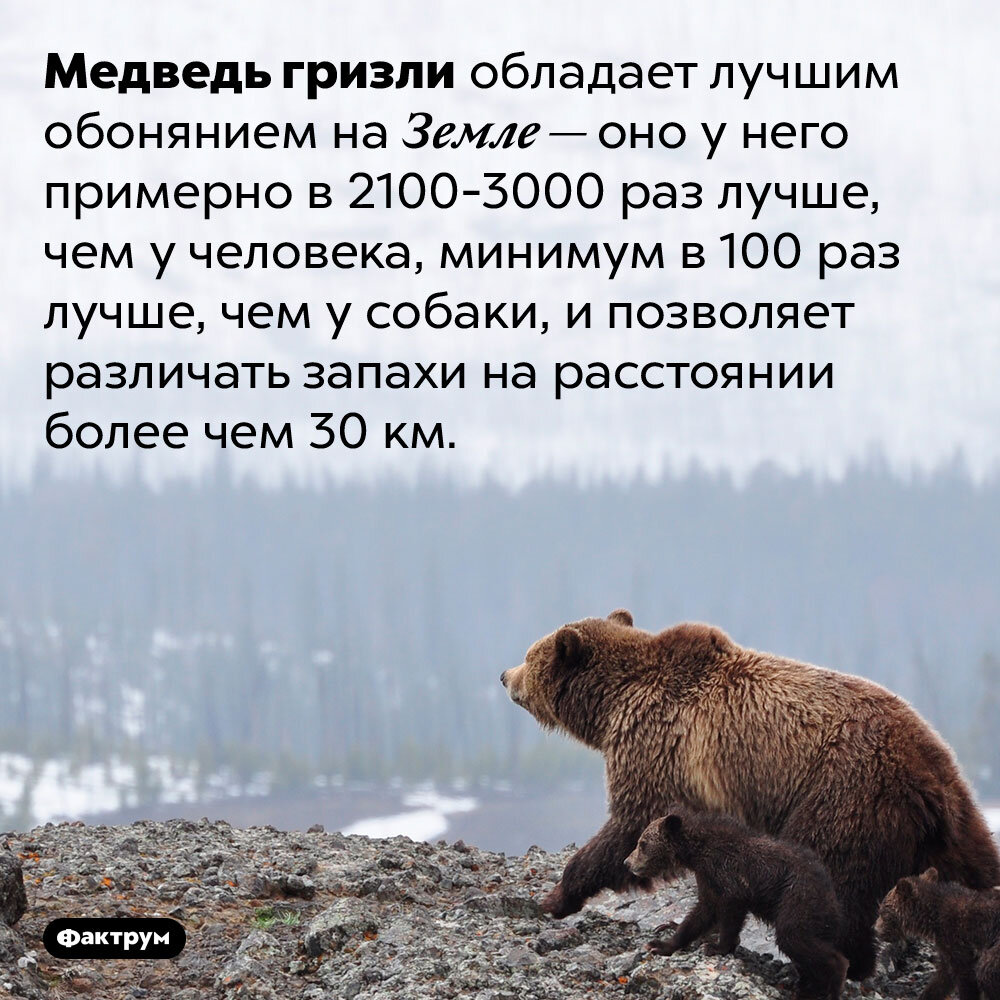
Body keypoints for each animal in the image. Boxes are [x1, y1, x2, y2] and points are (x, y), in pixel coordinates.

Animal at [624, 806, 848, 1000]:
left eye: (642, 843)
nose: (627, 862)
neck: (697, 852)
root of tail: (833, 898)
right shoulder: (707, 879)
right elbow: (701, 913)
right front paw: (661, 942)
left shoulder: (729, 876)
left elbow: (730, 911)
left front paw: (717, 946)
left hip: (797, 898)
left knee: (793, 936)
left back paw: (834, 981)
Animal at [876, 867, 1000, 1000]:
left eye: (882, 912)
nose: (876, 929)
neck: (932, 918)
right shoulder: (946, 947)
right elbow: (942, 979)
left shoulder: (956, 937)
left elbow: (965, 975)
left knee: (986, 971)